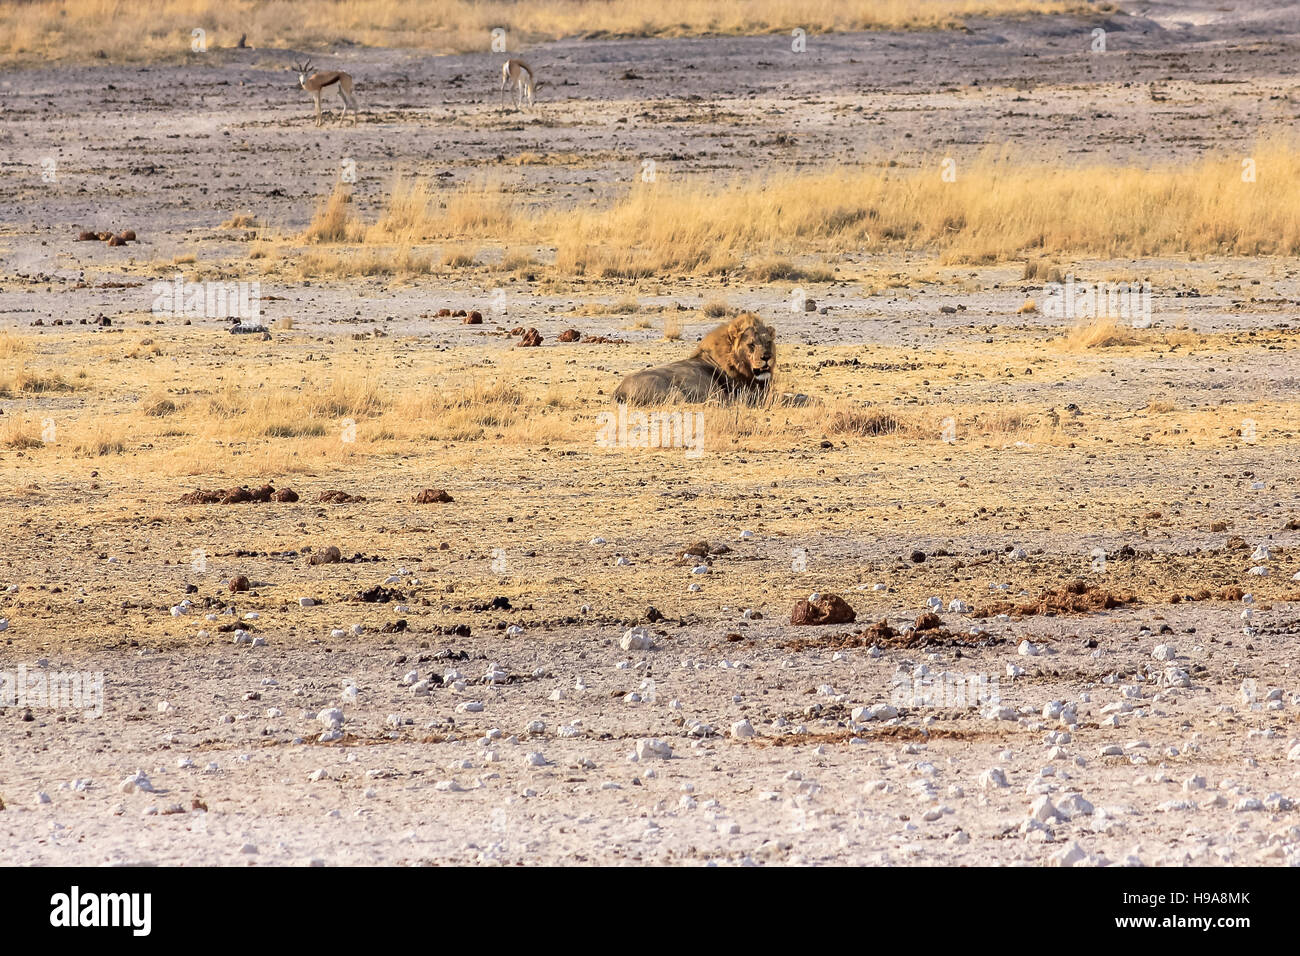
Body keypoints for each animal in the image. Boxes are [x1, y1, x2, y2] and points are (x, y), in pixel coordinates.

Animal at [612, 312, 776, 405]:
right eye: (751, 344)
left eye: (768, 342)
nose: (767, 357)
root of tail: (618, 390)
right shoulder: (744, 391)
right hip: (673, 392)